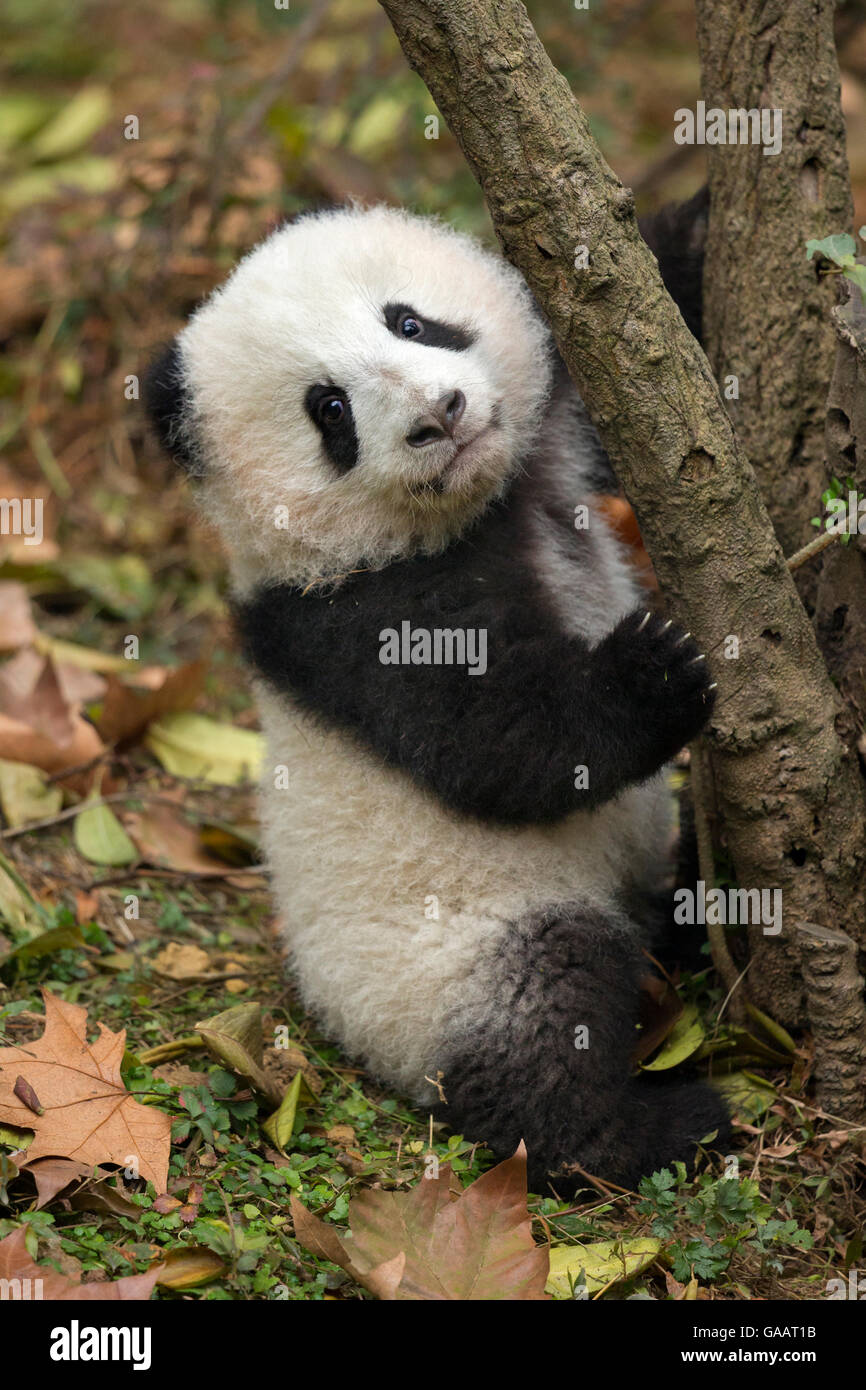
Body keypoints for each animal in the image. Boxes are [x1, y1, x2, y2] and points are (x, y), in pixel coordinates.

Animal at [145, 194, 729, 1194]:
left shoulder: (554, 440)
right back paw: (643, 1132)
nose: (439, 414)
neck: (473, 515)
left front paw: (690, 231)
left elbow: (613, 353)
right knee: (549, 1005)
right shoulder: (349, 615)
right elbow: (504, 747)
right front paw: (655, 670)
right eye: (330, 410)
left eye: (409, 322)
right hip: (452, 955)